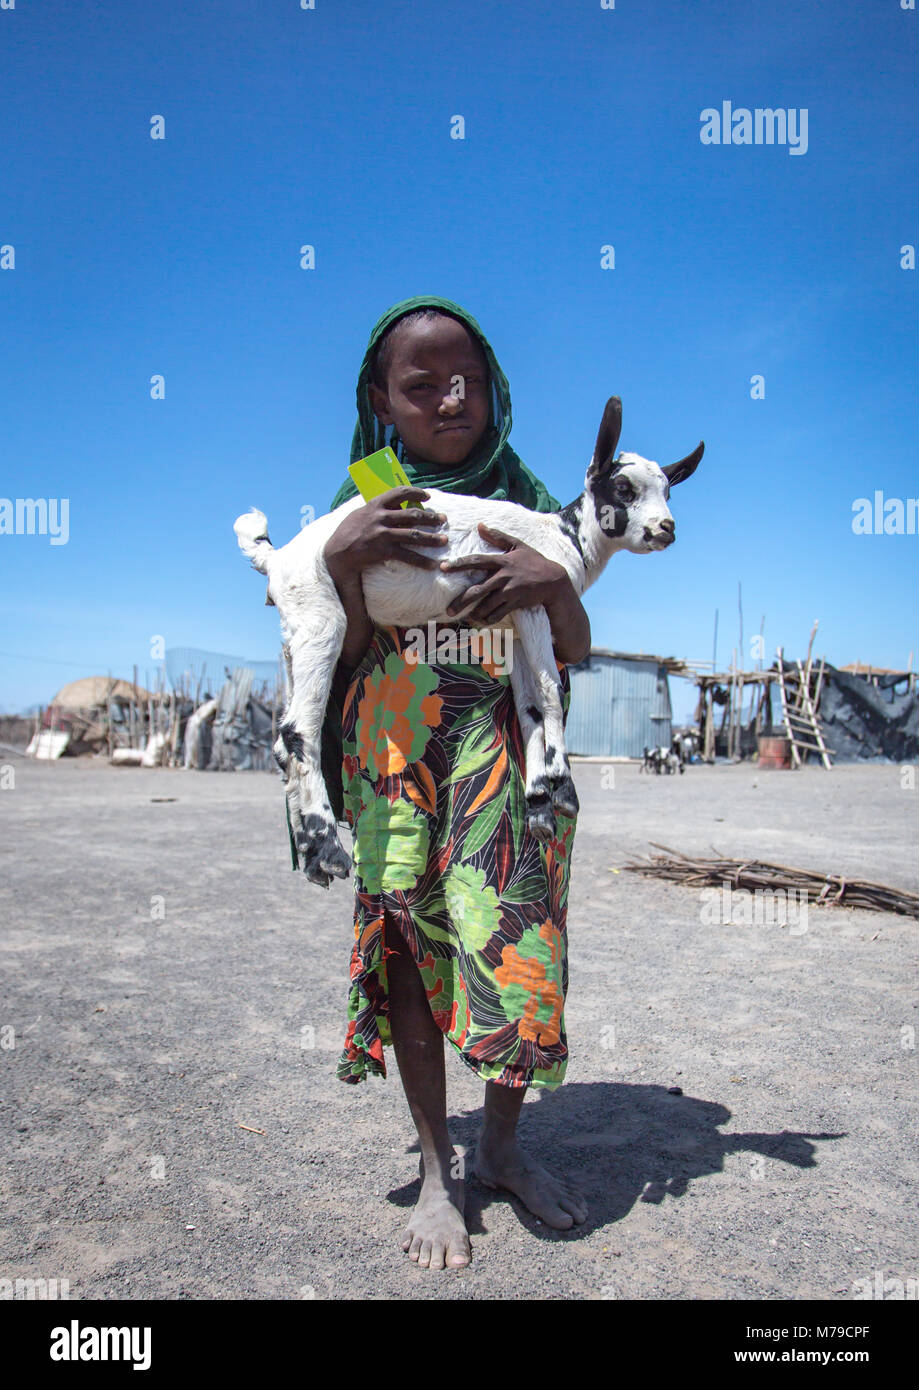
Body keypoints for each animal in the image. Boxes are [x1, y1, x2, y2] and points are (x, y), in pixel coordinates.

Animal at [234, 396, 703, 887]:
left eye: (668, 491)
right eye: (624, 488)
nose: (665, 528)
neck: (563, 538)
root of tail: (276, 558)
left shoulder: (510, 622)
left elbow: (530, 707)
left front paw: (539, 801)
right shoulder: (533, 597)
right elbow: (552, 693)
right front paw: (563, 787)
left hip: (296, 632)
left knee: (280, 744)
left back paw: (309, 853)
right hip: (322, 616)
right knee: (296, 731)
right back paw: (328, 848)